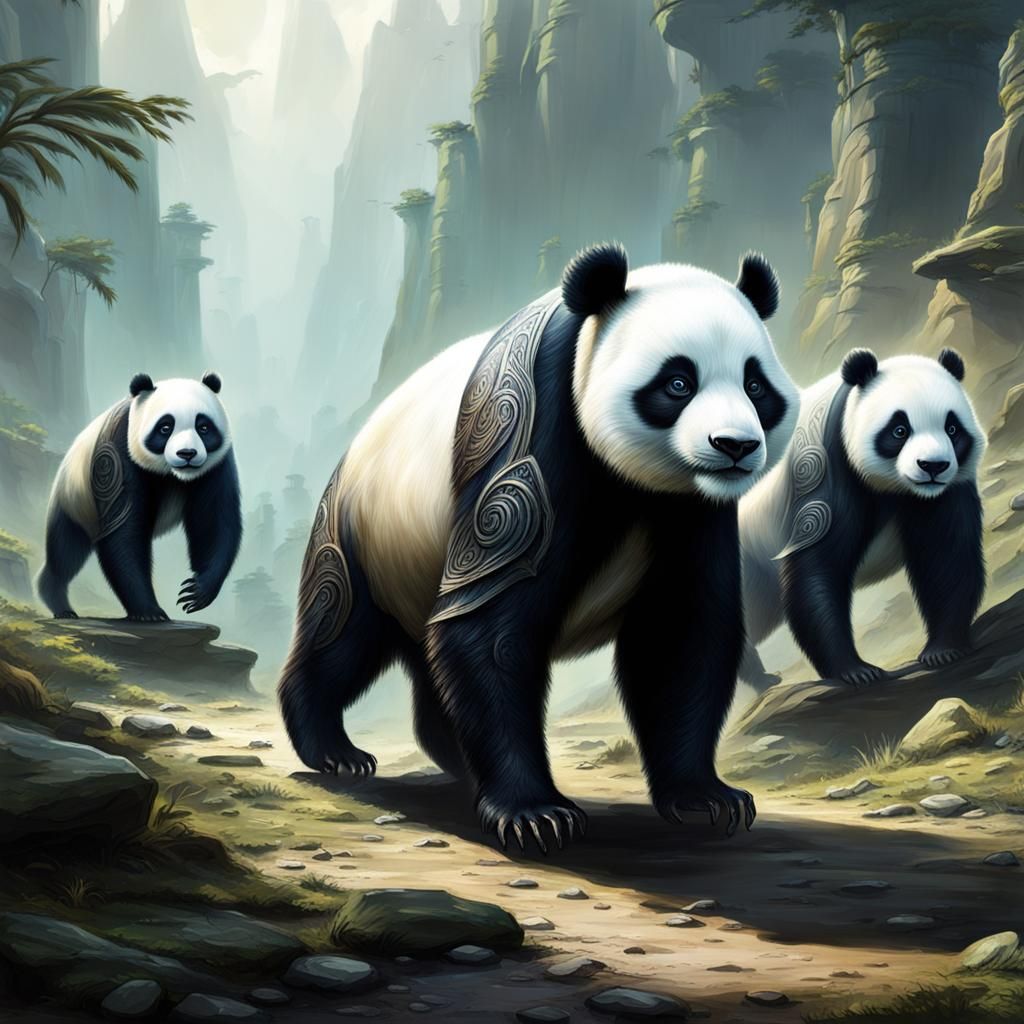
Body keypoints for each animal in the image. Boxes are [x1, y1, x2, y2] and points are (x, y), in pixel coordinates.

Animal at [37, 372, 242, 623]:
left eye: (203, 427)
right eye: (165, 427)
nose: (187, 454)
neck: (172, 474)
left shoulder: (216, 464)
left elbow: (214, 521)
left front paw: (196, 591)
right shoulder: (117, 450)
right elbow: (123, 532)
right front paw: (150, 612)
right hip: (74, 500)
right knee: (65, 551)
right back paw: (61, 605)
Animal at [278, 242, 799, 851]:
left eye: (755, 386)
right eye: (678, 383)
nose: (735, 446)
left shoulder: (693, 508)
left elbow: (680, 634)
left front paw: (706, 798)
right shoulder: (532, 431)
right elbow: (492, 618)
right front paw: (535, 813)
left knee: (428, 654)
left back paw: (451, 754)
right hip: (368, 534)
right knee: (342, 627)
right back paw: (334, 749)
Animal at [739, 348, 985, 690]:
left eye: (952, 428)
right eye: (899, 430)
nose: (933, 466)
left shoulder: (946, 491)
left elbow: (948, 556)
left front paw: (944, 649)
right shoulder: (827, 469)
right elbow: (817, 567)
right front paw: (855, 670)